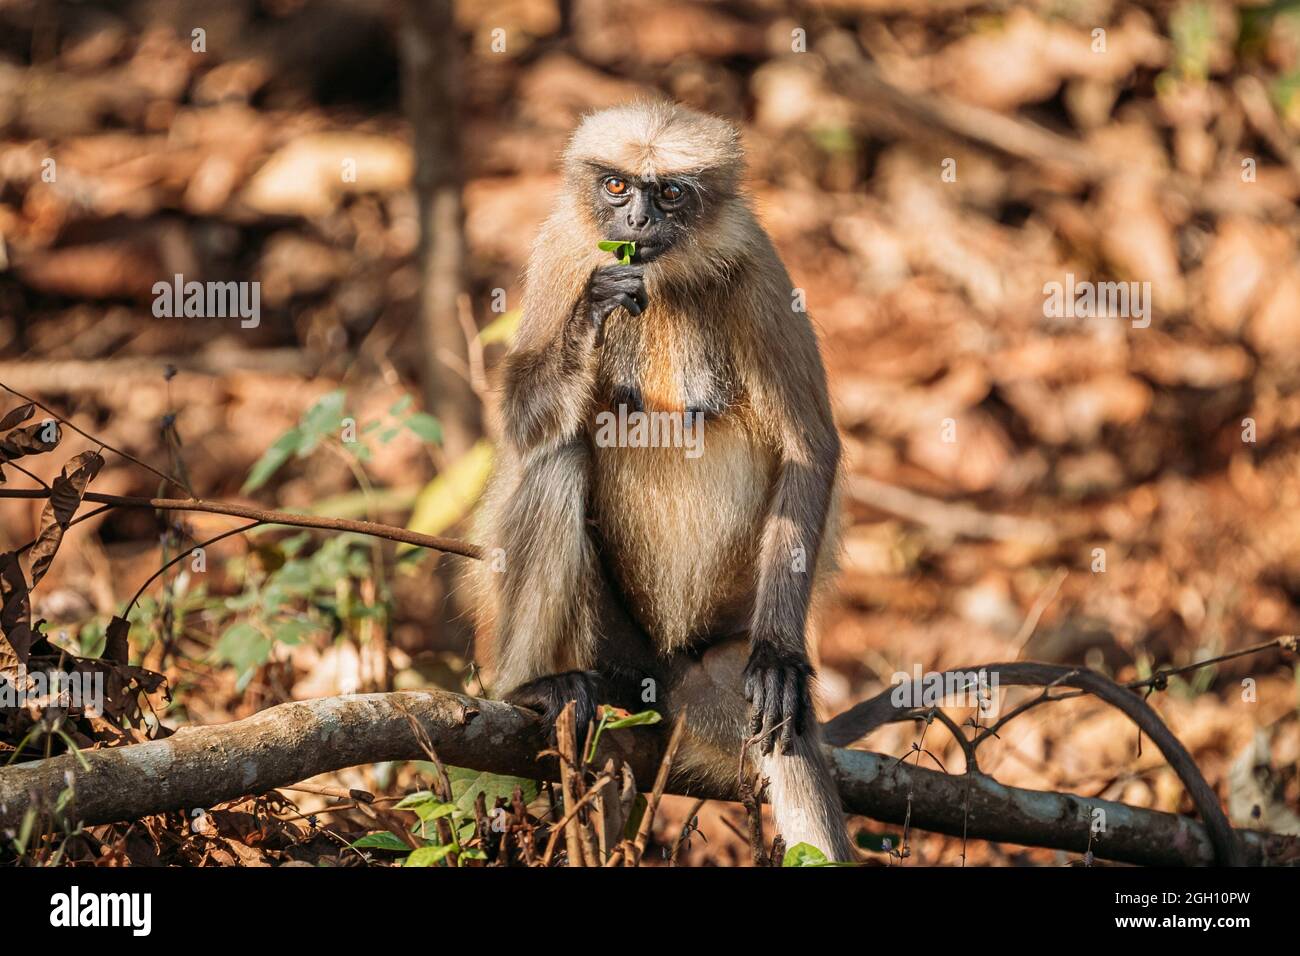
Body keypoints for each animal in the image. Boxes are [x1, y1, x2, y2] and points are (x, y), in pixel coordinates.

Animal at [469, 101, 855, 862]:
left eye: (670, 193)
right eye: (618, 187)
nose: (638, 222)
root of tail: (664, 668)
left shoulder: (760, 268)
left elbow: (810, 445)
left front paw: (779, 657)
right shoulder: (564, 251)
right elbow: (524, 423)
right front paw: (592, 315)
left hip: (708, 665)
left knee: (778, 729)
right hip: (608, 643)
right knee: (557, 458)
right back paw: (531, 688)